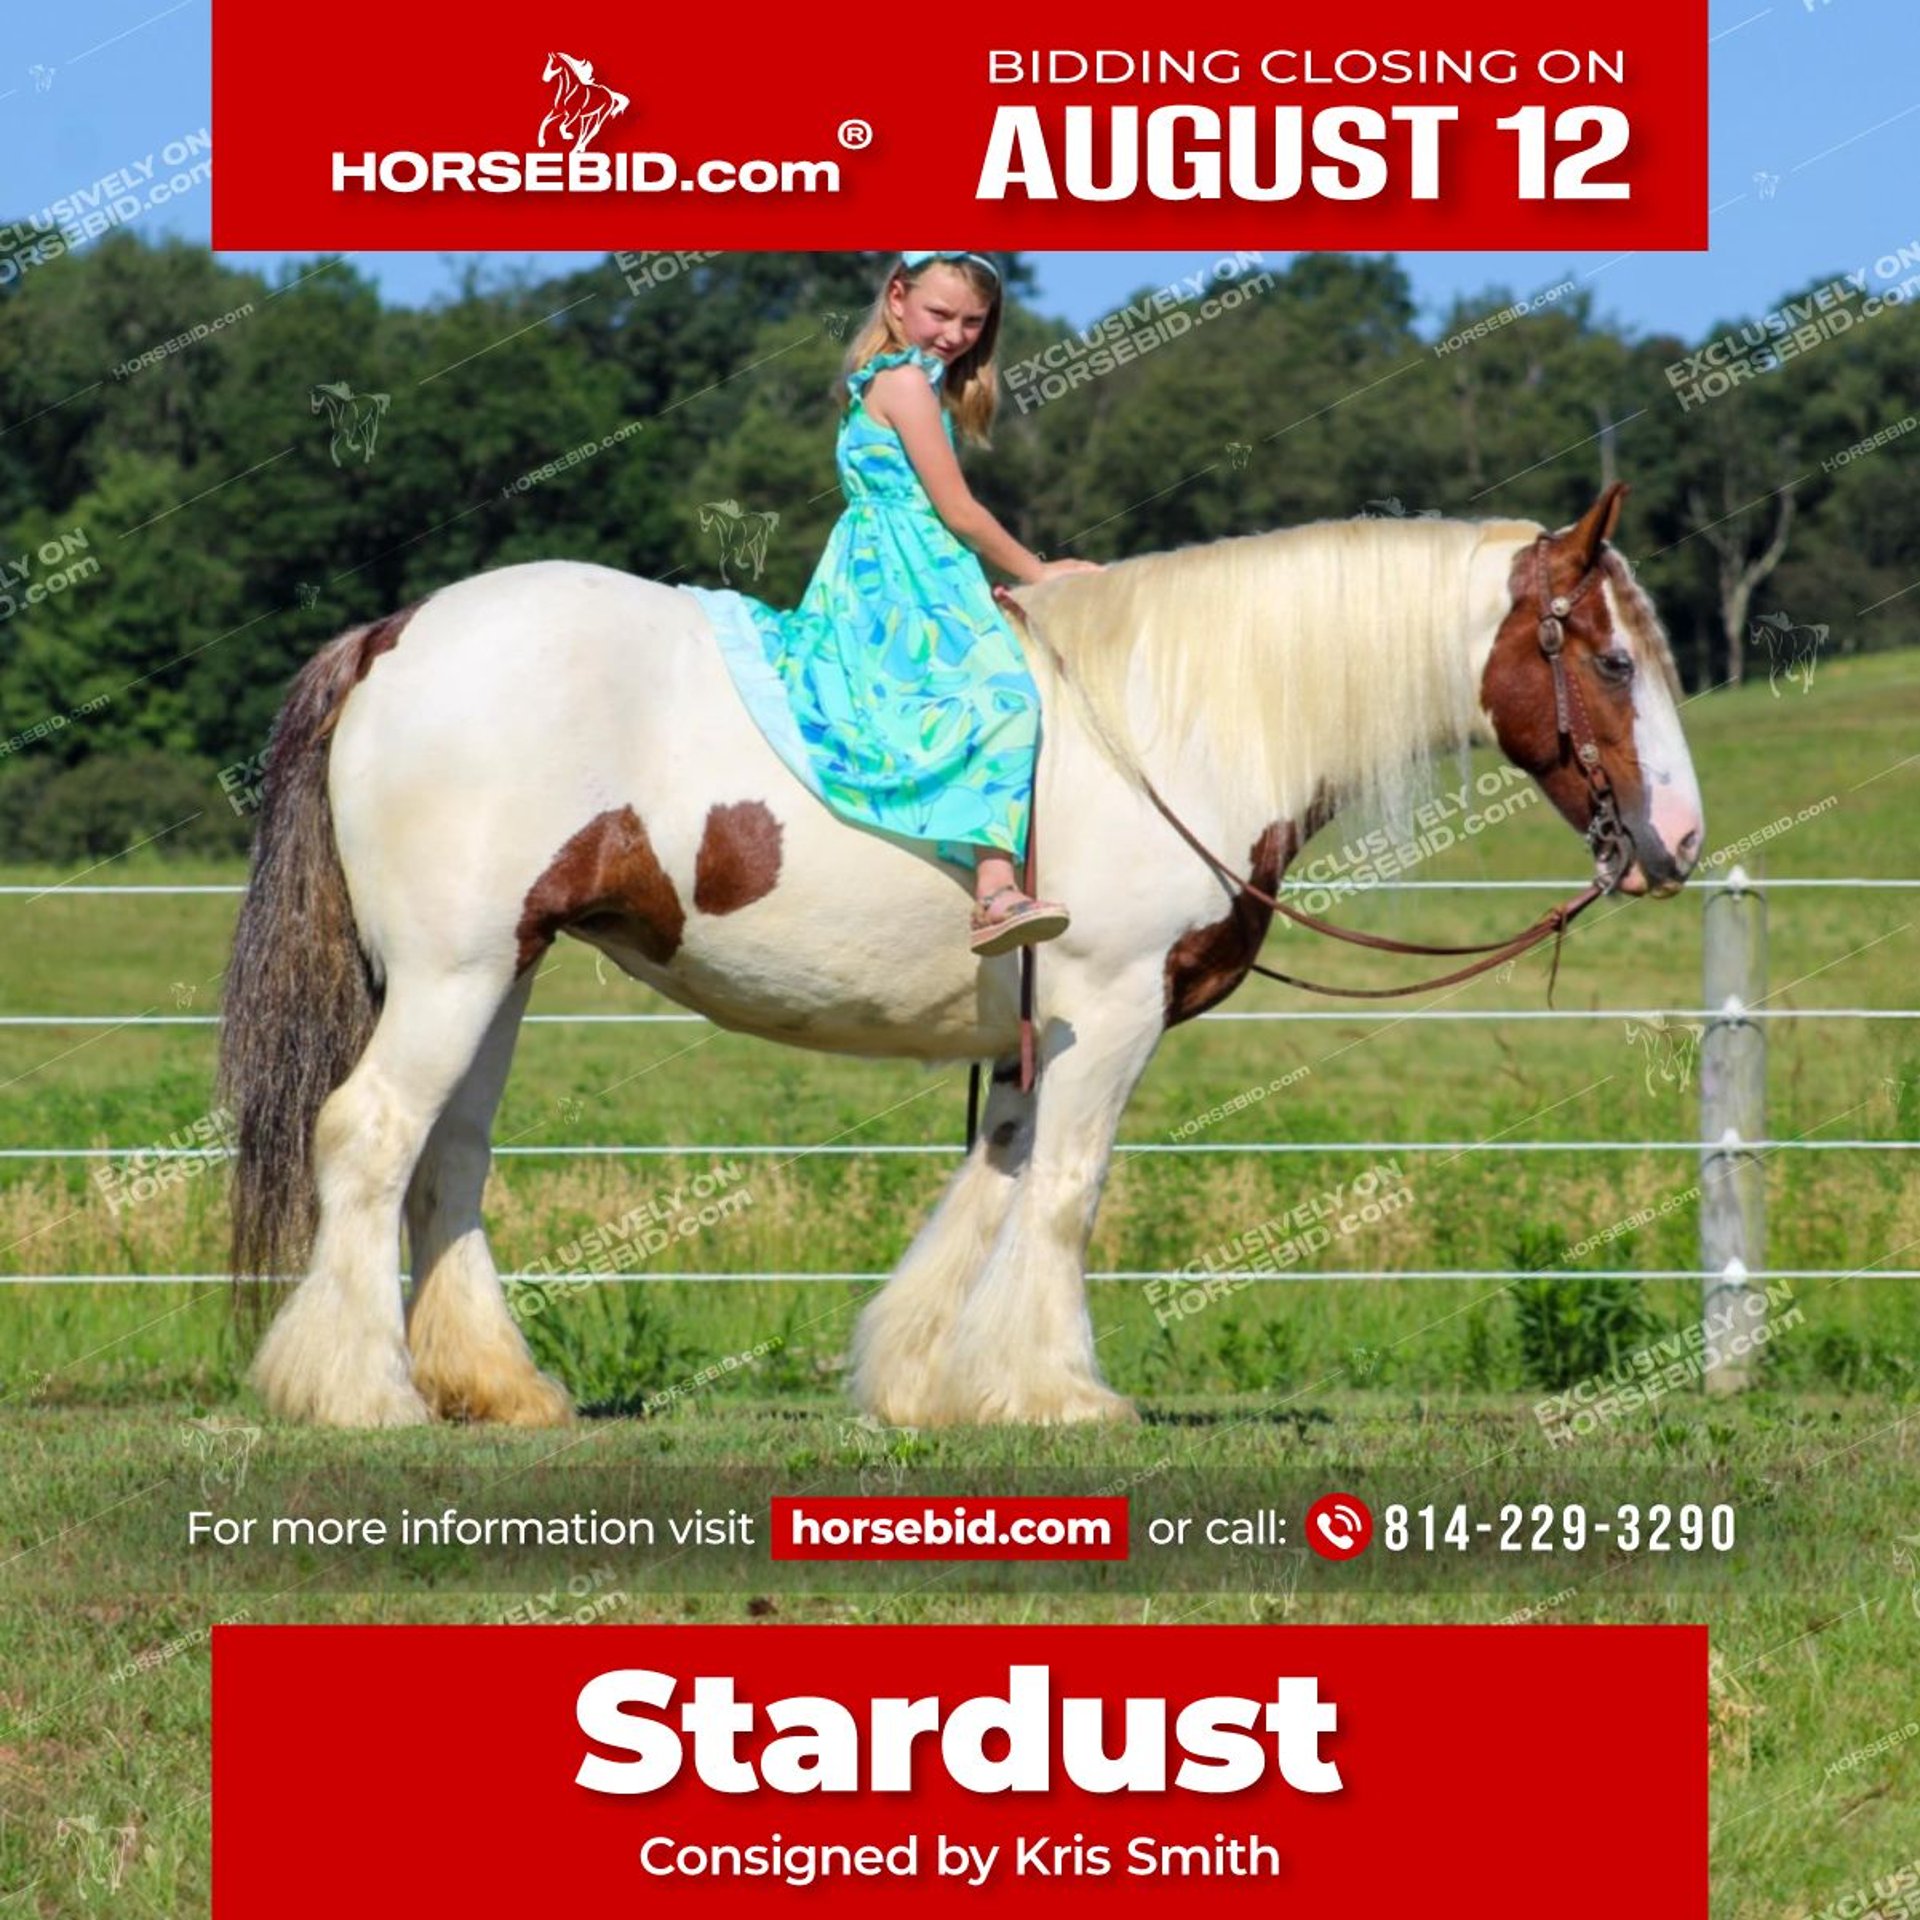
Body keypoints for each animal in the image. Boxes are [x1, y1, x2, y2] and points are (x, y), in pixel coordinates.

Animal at [216, 481, 1703, 1430]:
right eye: (1613, 662)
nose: (1678, 839)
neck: (1180, 723)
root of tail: (399, 634)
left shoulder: (1041, 1033)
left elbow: (993, 1188)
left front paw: (934, 1381)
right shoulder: (1112, 1009)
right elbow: (1067, 1194)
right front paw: (1062, 1391)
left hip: (500, 972)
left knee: (447, 1158)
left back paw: (498, 1388)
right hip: (455, 972)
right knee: (368, 1134)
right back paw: (360, 1394)